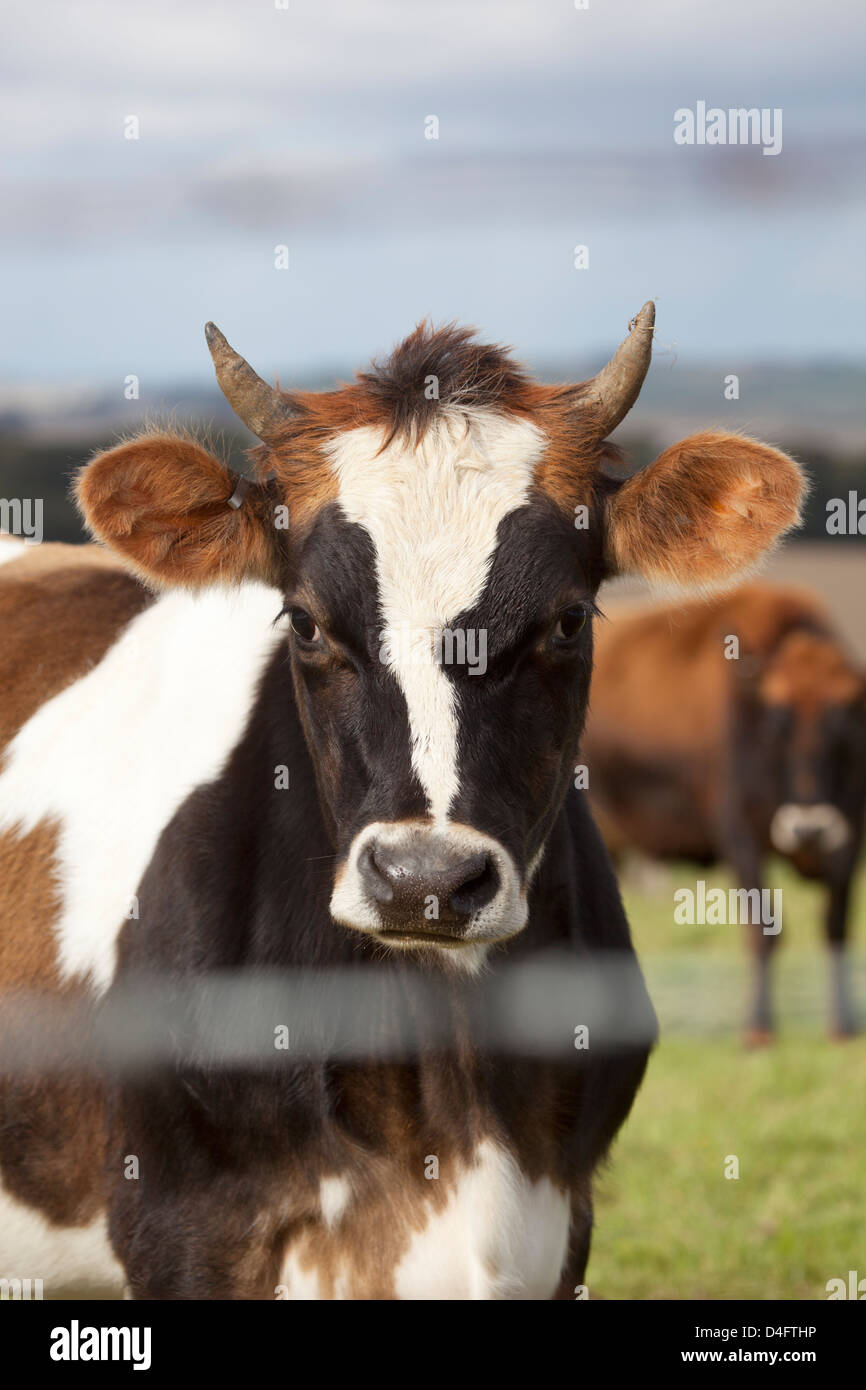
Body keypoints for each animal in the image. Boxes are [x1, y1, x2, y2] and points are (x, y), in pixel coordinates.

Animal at [584, 583, 866, 1045]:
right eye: (776, 723)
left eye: (846, 723)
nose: (808, 828)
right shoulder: (741, 838)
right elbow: (765, 932)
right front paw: (758, 1030)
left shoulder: (851, 833)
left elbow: (836, 927)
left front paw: (843, 1027)